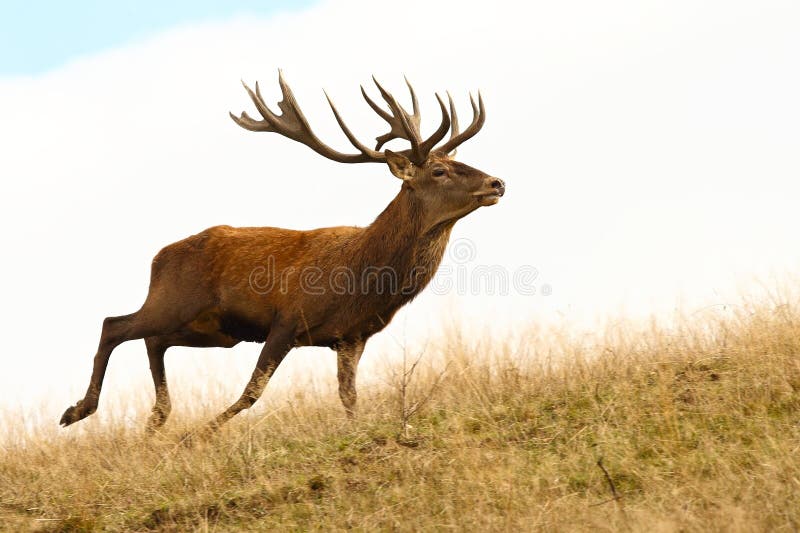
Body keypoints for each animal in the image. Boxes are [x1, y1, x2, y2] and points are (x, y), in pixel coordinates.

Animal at [60, 71, 505, 432]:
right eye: (439, 171)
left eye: (460, 161)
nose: (497, 182)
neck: (362, 280)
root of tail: (158, 257)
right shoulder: (288, 319)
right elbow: (252, 391)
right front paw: (198, 435)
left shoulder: (351, 336)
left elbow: (349, 396)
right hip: (175, 301)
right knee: (114, 324)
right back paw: (78, 411)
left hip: (213, 329)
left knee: (153, 341)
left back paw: (156, 418)